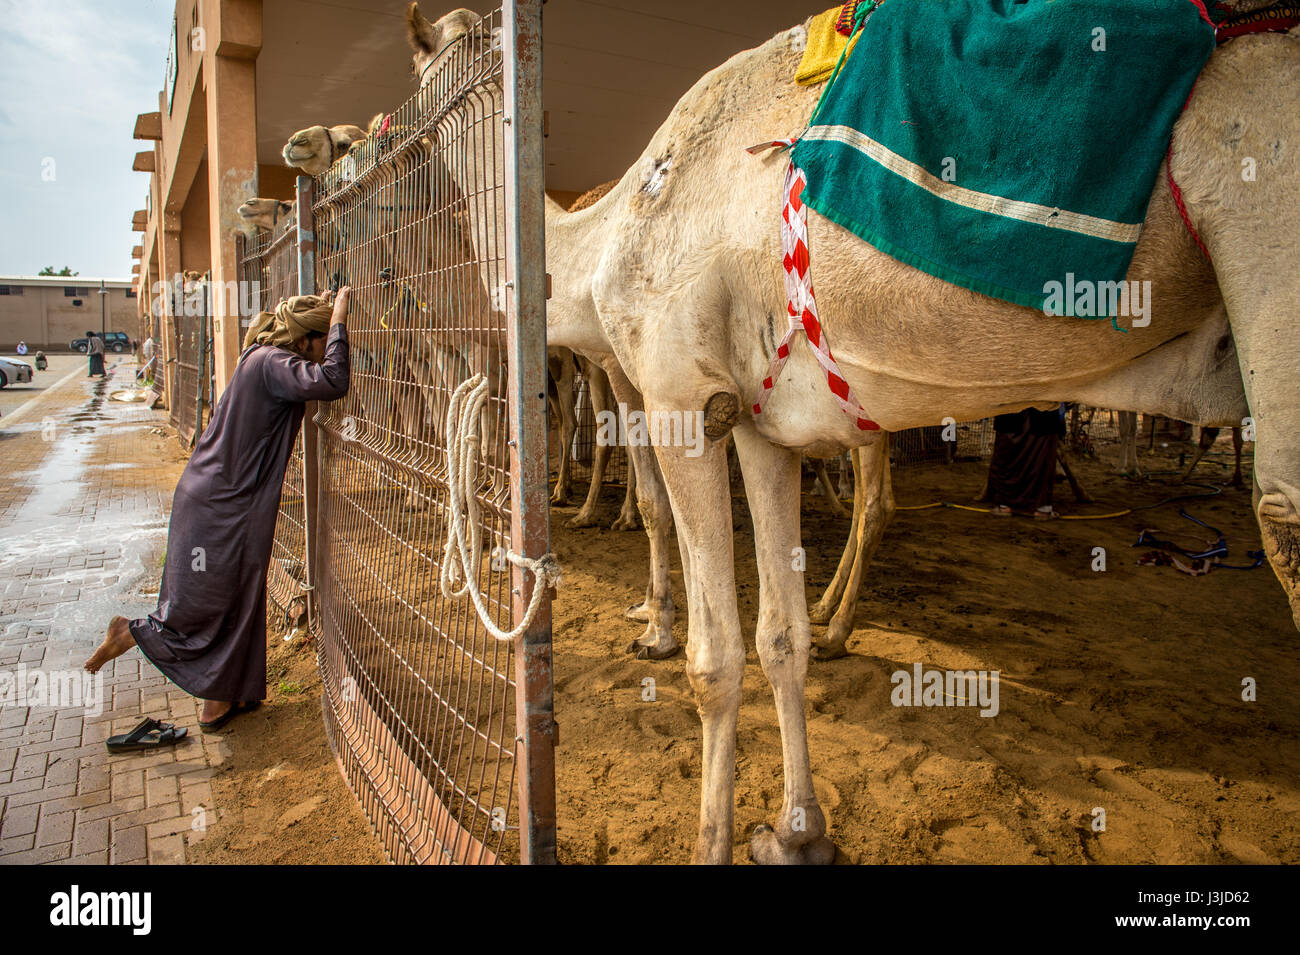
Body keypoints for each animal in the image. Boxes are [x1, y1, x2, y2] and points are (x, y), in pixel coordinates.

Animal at [410, 4, 1300, 864]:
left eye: (426, 64)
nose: (397, 134)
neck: (610, 225)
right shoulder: (758, 425)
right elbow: (779, 637)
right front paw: (797, 832)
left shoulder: (681, 398)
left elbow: (714, 658)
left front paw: (715, 831)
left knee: (1280, 517)